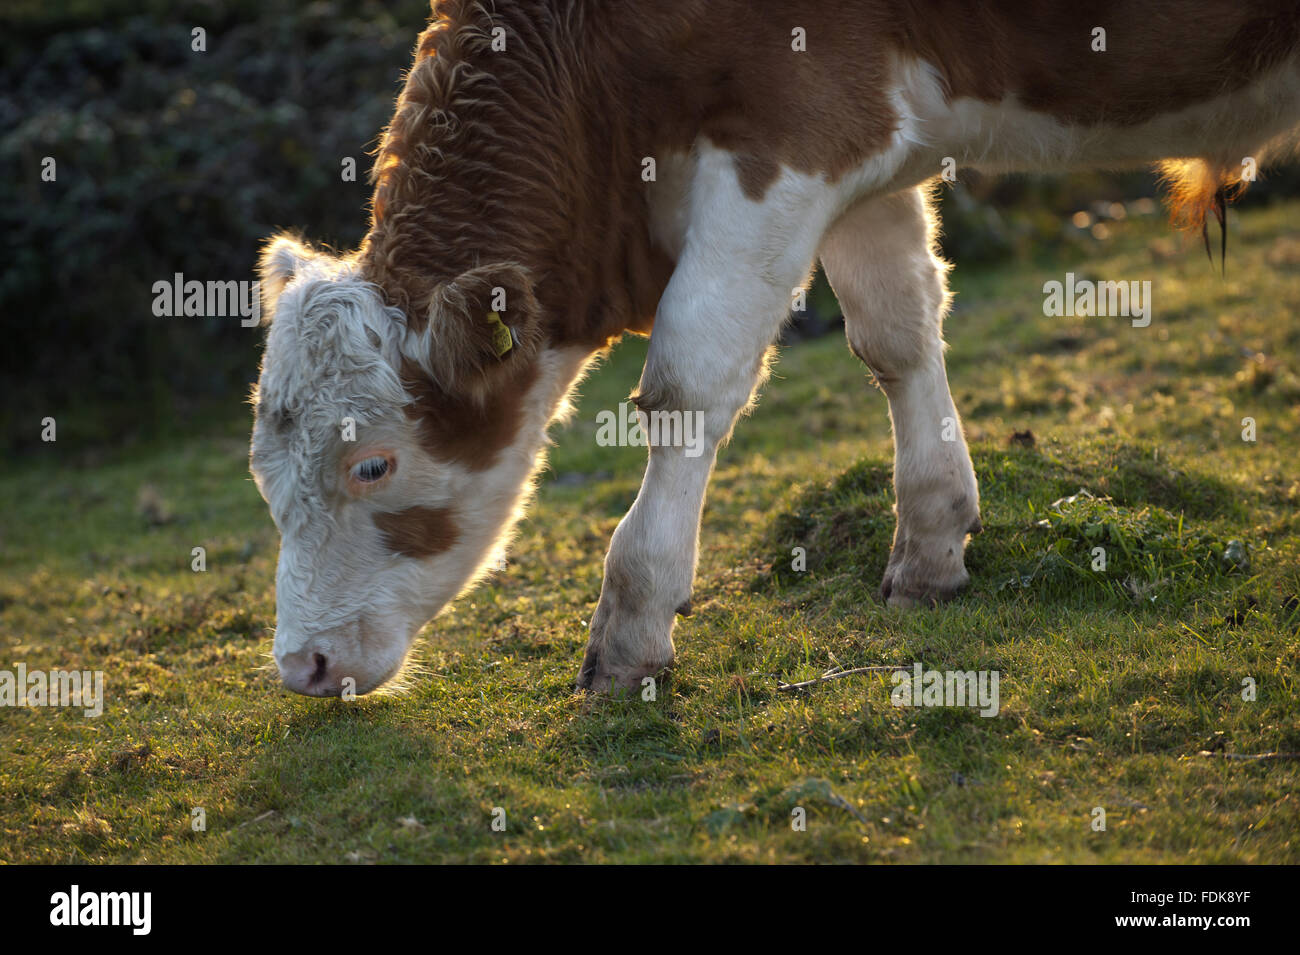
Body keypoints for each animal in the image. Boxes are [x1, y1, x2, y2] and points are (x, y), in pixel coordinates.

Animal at [249, 0, 1300, 696]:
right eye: (264, 473)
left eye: (374, 465)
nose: (301, 665)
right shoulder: (868, 150)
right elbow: (897, 332)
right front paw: (932, 545)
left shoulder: (790, 132)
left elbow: (688, 383)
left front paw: (630, 628)